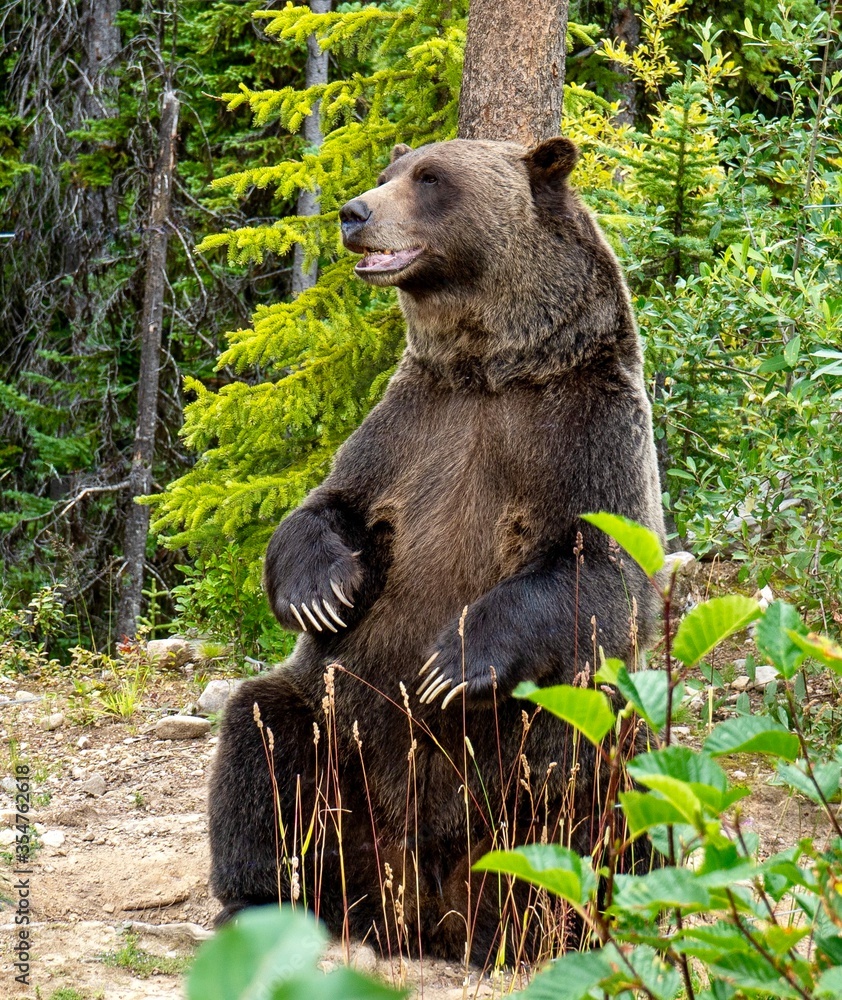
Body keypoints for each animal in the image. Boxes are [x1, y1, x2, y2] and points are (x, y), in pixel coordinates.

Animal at [208, 137, 666, 964]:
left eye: (431, 179)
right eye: (390, 173)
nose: (354, 213)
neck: (492, 369)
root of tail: (425, 916)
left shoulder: (584, 431)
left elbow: (600, 570)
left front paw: (452, 662)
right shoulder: (413, 428)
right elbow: (327, 506)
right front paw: (323, 590)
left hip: (554, 762)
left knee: (617, 797)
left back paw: (572, 927)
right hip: (340, 746)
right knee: (264, 748)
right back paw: (266, 904)